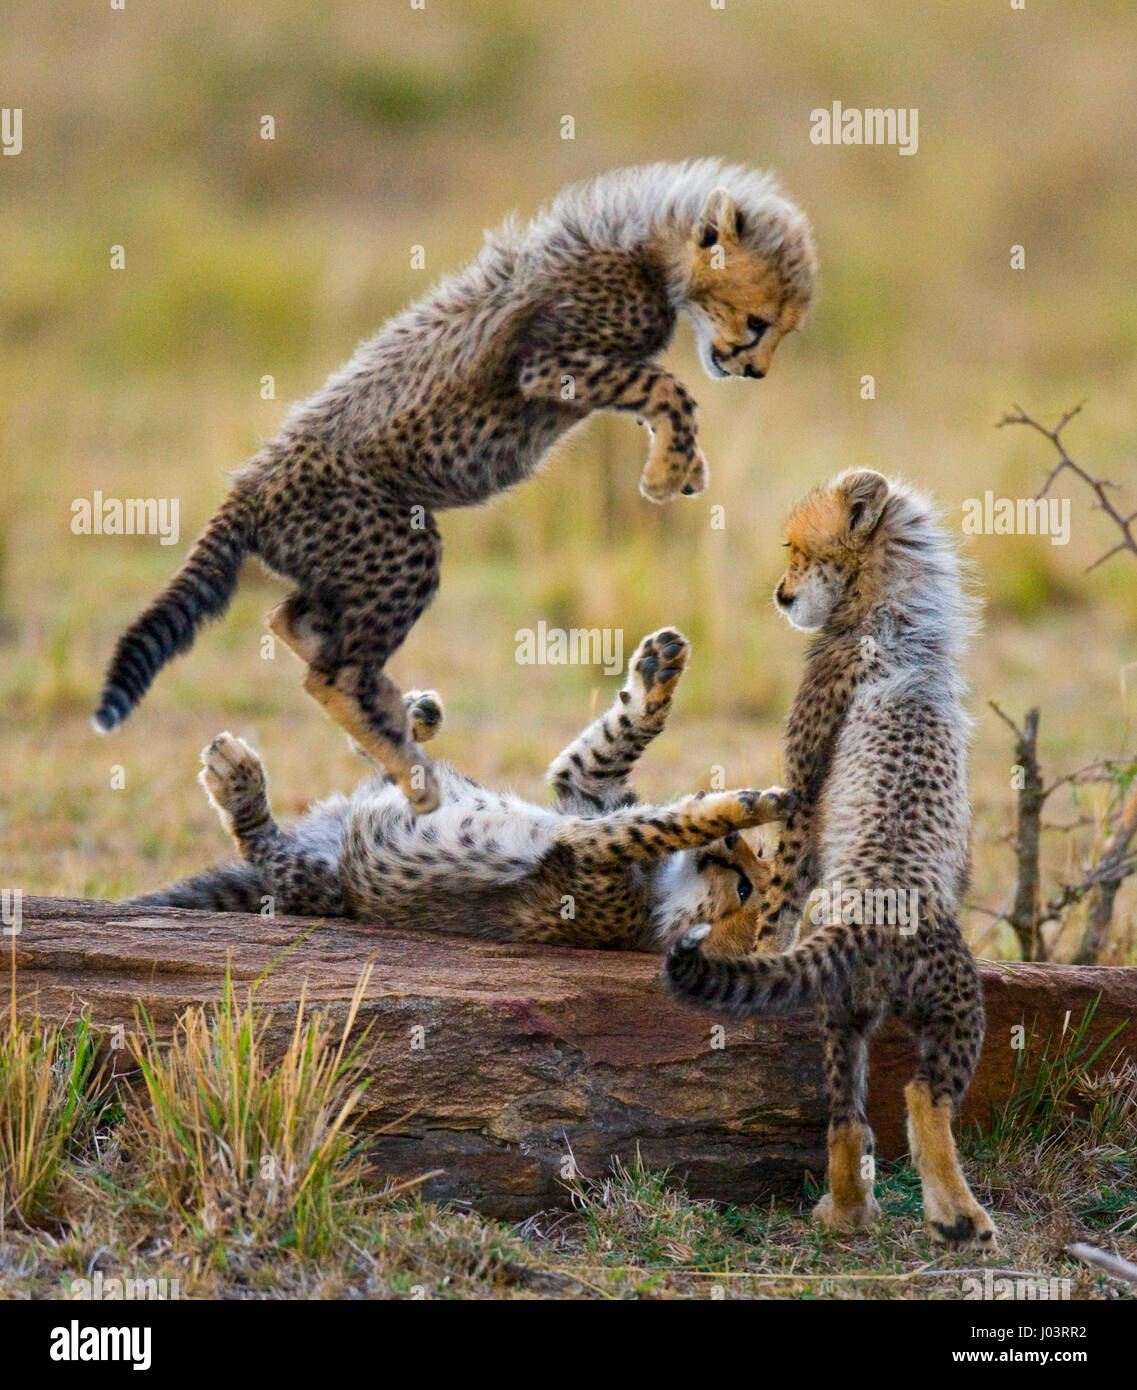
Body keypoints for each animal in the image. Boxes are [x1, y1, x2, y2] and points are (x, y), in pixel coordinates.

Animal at [92, 159, 816, 814]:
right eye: (758, 321)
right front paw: (668, 473)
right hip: (400, 546)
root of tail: (248, 485)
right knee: (332, 674)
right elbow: (666, 387)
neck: (648, 251)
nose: (753, 370)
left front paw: (682, 466)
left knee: (293, 619)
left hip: (345, 563)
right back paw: (413, 773)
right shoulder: (550, 364)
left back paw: (401, 718)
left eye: (783, 330)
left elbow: (660, 396)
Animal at [126, 628, 793, 954]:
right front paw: (657, 675)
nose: (732, 847)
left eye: (744, 887)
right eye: (753, 864)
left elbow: (653, 822)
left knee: (263, 843)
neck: (663, 894)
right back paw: (412, 712)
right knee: (399, 763)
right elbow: (618, 741)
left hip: (324, 882)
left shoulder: (583, 850)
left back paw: (236, 777)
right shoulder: (584, 792)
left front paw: (742, 803)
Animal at [665, 469, 998, 1250]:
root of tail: (878, 910)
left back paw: (933, 1215)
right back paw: (883, 1213)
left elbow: (779, 886)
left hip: (893, 1005)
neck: (892, 613)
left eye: (794, 549)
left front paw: (758, 948)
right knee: (862, 1110)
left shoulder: (800, 792)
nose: (781, 595)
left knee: (907, 1097)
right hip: (900, 1009)